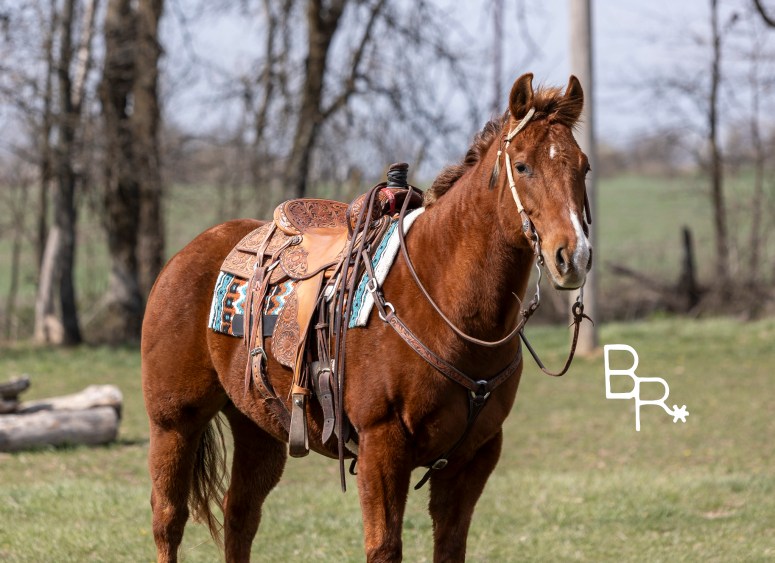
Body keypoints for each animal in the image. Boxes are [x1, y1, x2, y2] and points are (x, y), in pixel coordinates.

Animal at [141, 73, 592, 562]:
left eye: (584, 167)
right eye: (523, 166)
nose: (573, 256)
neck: (444, 304)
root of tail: (186, 254)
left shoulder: (473, 458)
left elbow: (450, 545)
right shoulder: (383, 446)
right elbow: (384, 546)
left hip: (258, 426)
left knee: (239, 515)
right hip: (173, 421)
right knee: (169, 518)